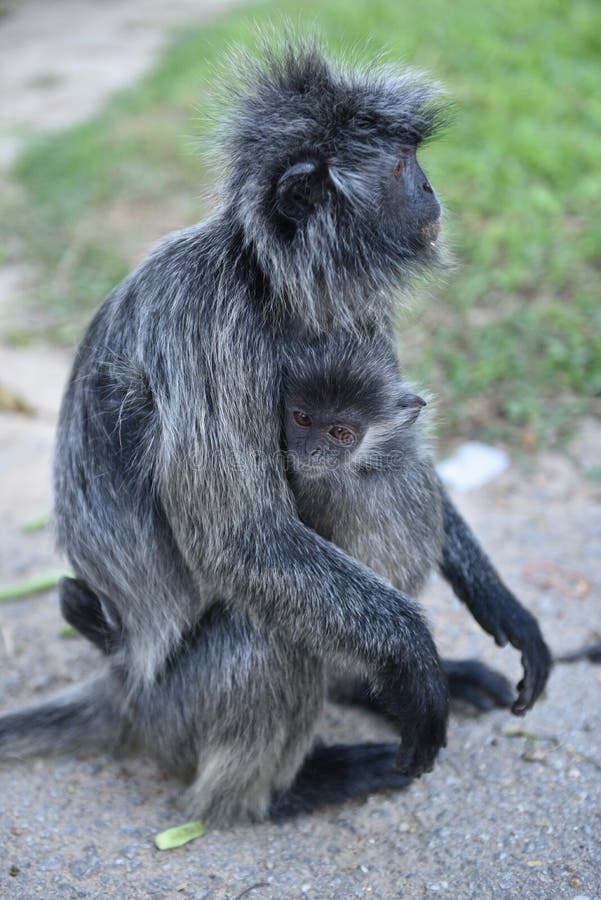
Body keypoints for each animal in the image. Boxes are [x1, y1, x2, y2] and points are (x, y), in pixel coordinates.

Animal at [0, 41, 551, 826]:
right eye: (400, 168)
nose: (430, 190)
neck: (266, 288)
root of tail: (124, 693)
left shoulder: (358, 324)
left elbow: (403, 443)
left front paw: (497, 603)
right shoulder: (206, 323)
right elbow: (241, 538)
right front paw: (415, 662)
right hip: (179, 707)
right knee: (270, 632)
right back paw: (287, 788)